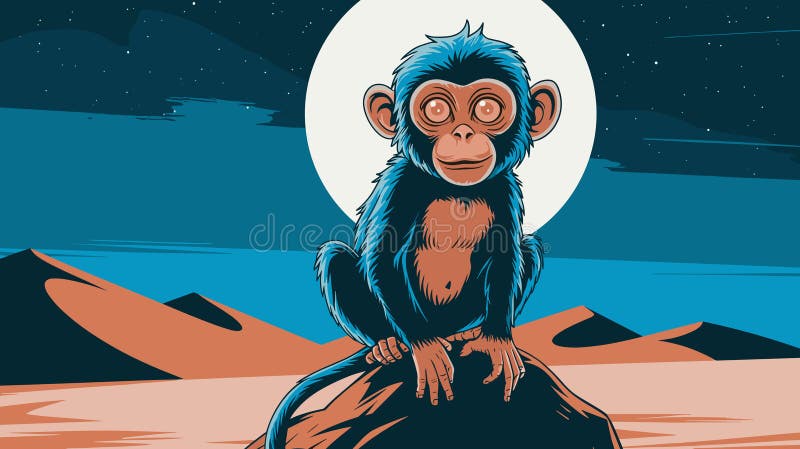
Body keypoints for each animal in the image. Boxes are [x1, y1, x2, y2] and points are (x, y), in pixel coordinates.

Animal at [265, 23, 560, 448]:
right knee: (335, 256)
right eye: (436, 110)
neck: (456, 192)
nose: (463, 132)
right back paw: (389, 345)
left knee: (531, 249)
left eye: (488, 109)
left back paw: (472, 332)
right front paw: (423, 348)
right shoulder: (399, 184)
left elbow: (507, 254)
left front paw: (495, 338)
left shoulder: (505, 188)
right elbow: (383, 259)